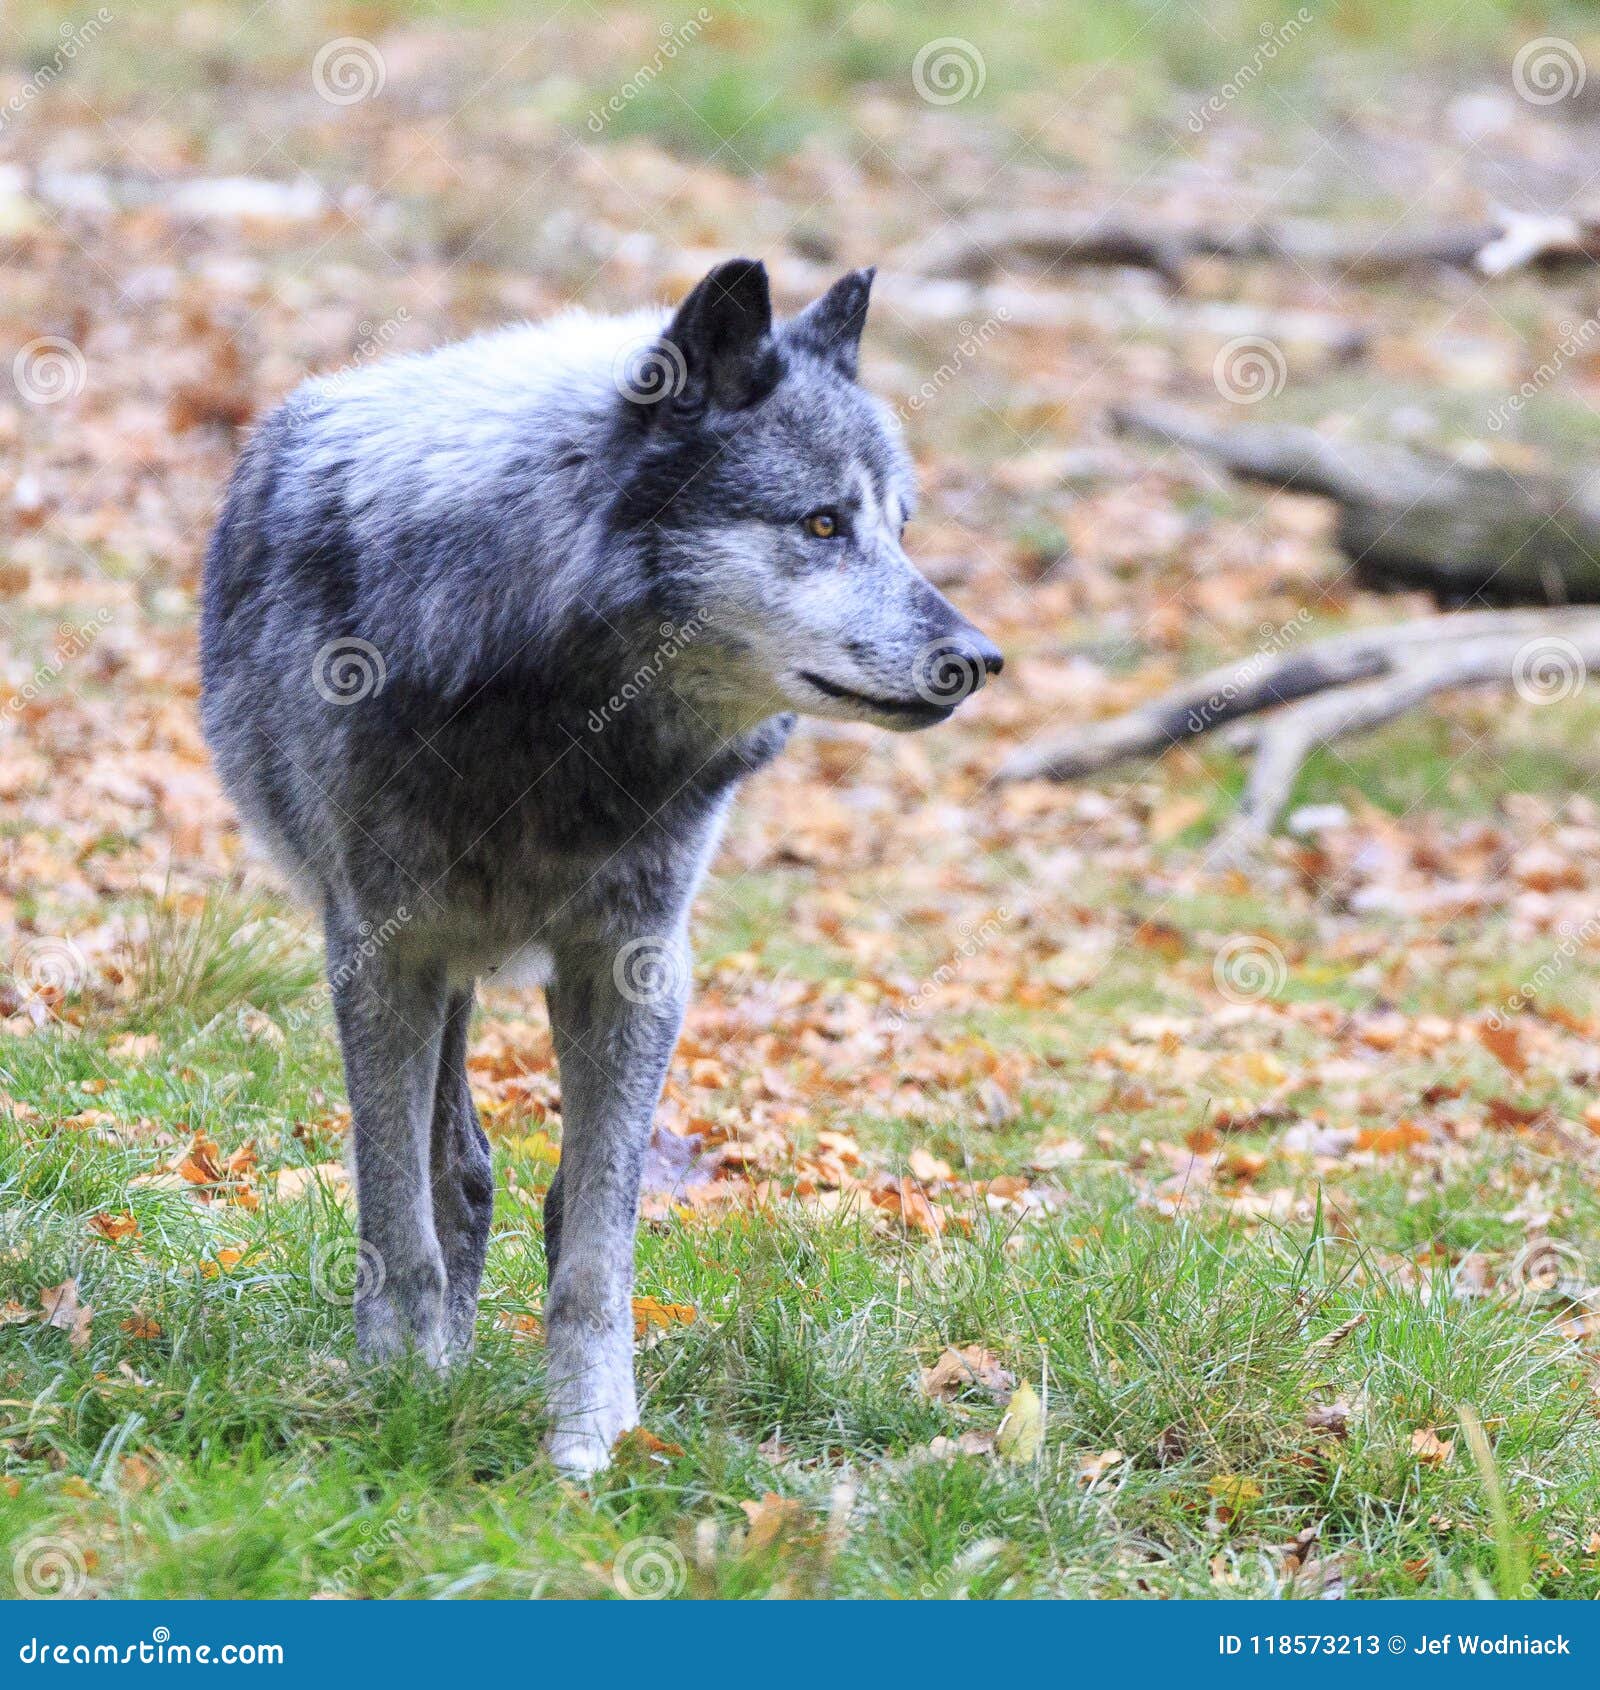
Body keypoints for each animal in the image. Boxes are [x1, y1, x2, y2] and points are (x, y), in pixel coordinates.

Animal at [199, 258, 1002, 1472]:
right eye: (821, 523)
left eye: (901, 529)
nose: (979, 659)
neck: (556, 720)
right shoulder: (380, 957)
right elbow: (398, 1218)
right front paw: (399, 1399)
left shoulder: (631, 966)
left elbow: (593, 1252)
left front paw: (589, 1441)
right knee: (454, 1175)